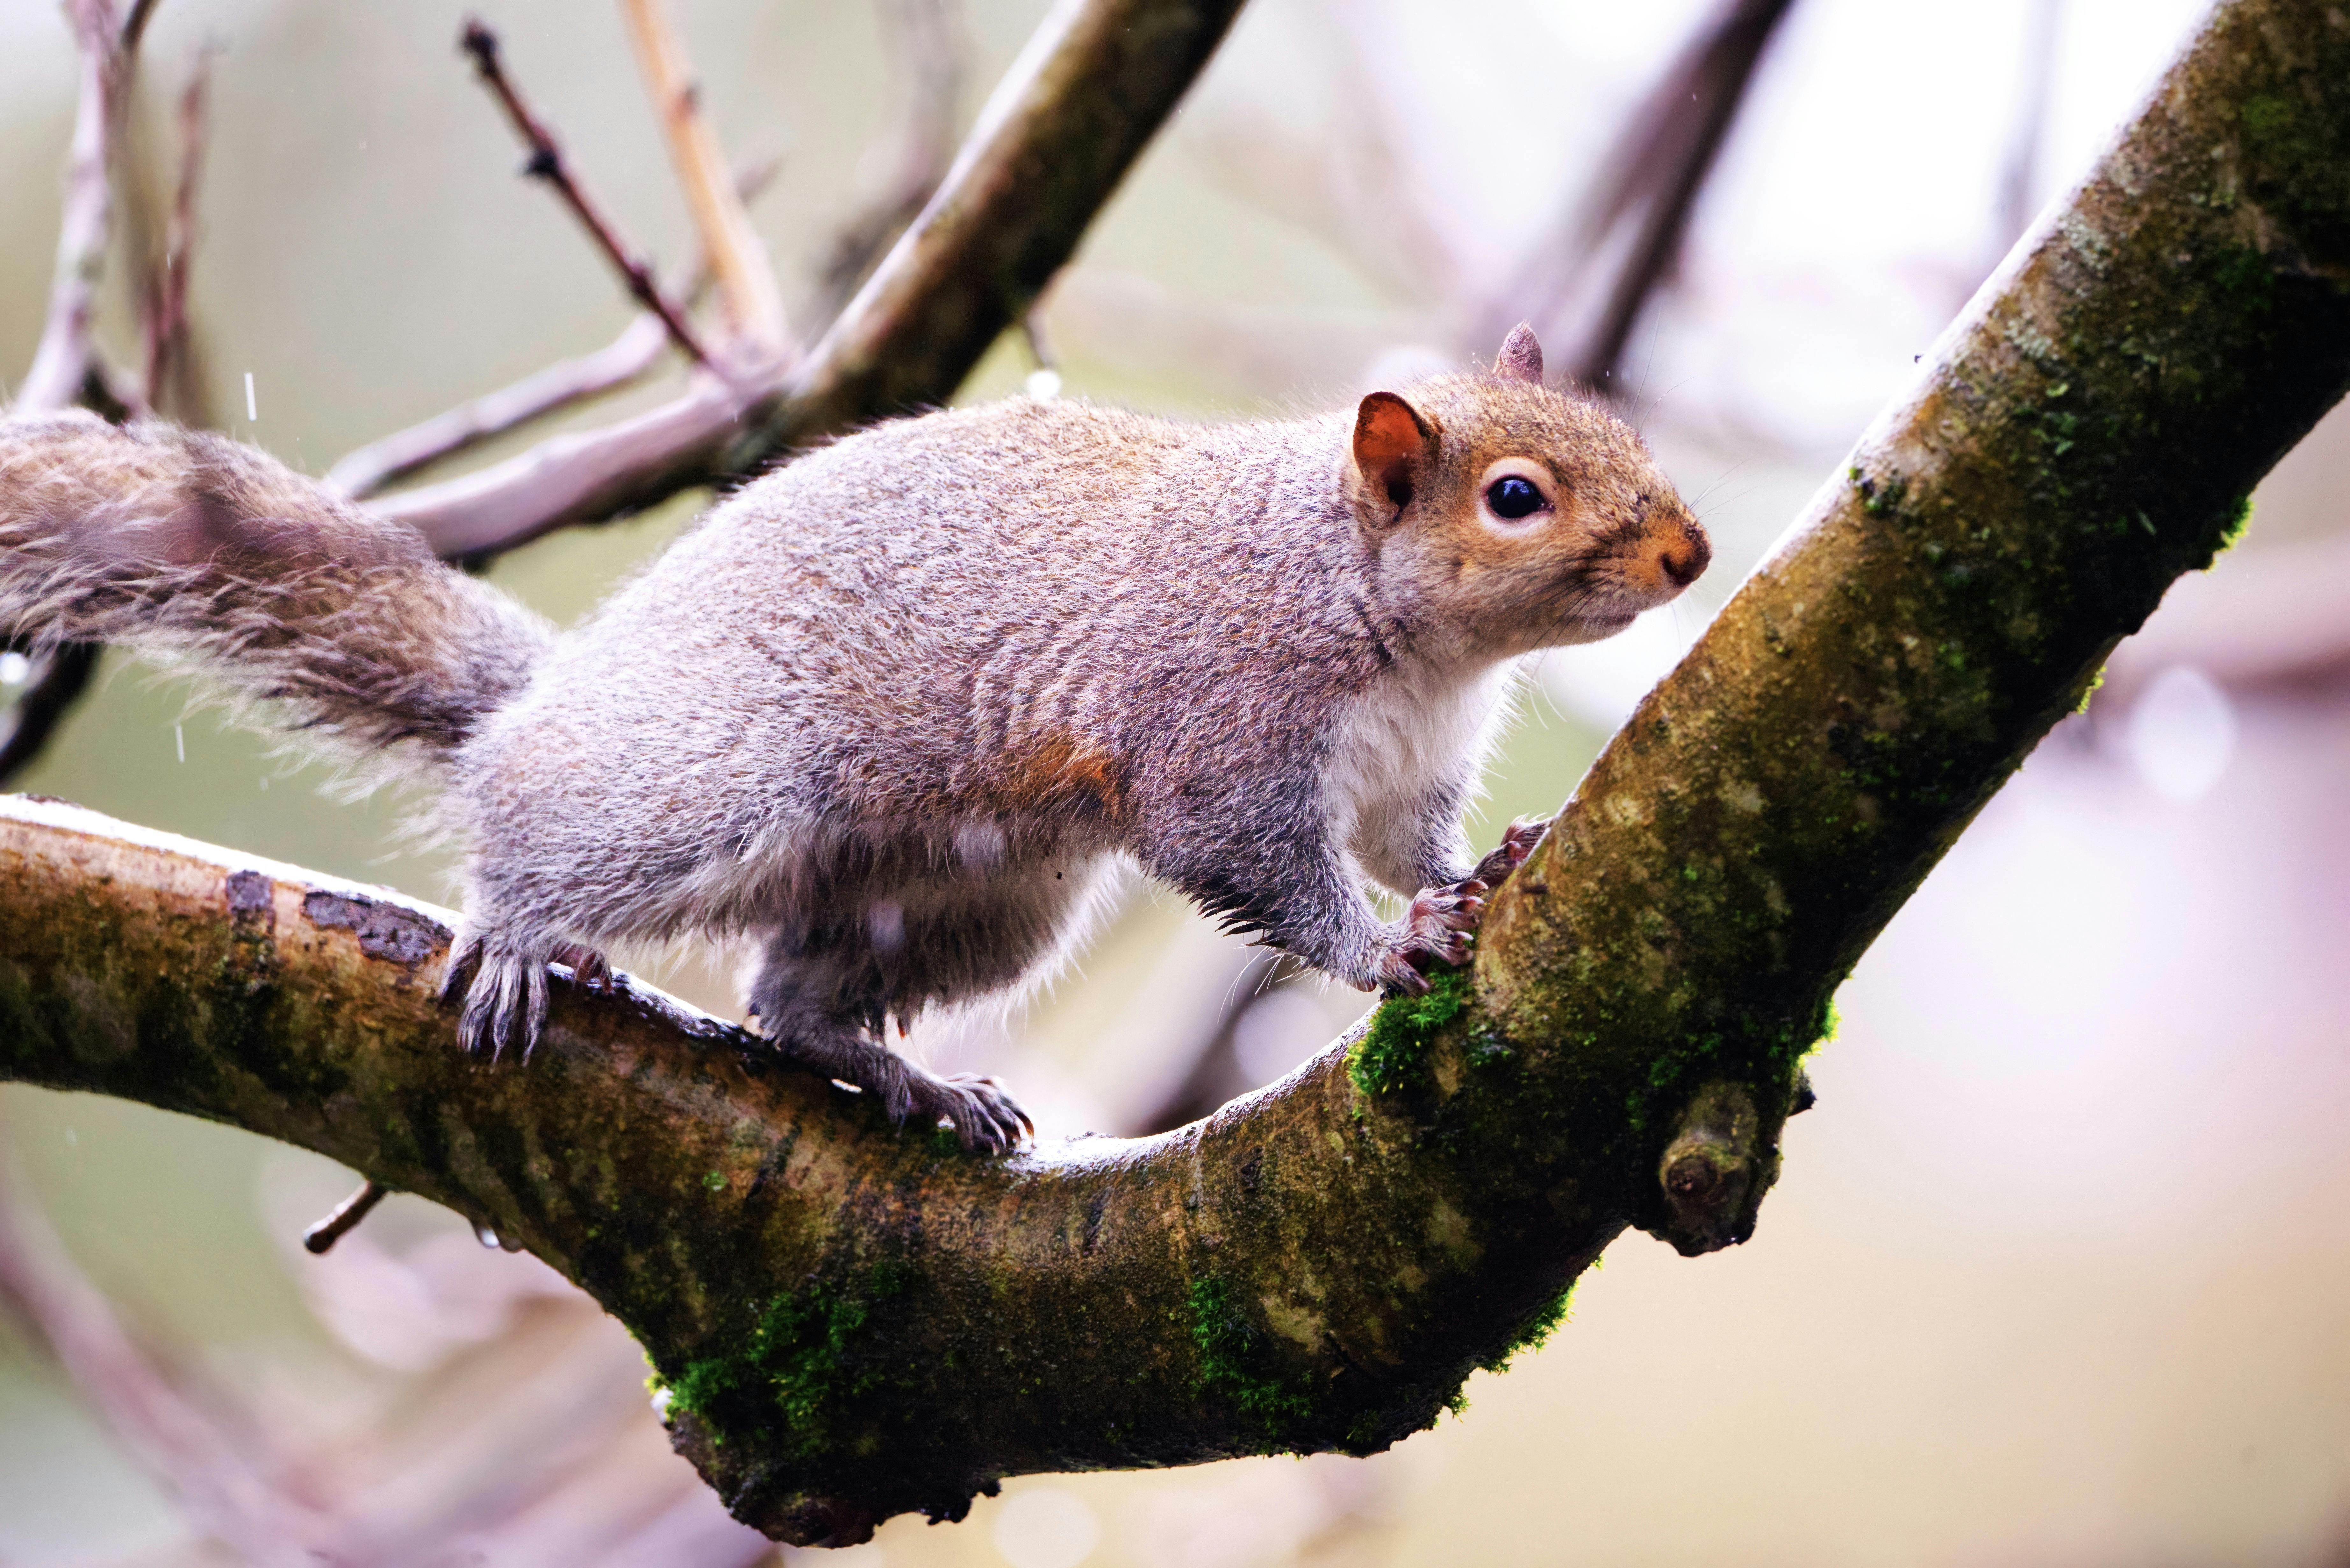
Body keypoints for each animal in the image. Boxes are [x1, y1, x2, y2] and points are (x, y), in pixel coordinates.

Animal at [0, 324, 1707, 1152]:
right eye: (1515, 496)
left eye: (1628, 432)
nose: (1689, 552)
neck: (1393, 628)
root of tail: (560, 701)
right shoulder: (1218, 724)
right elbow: (1267, 867)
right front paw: (1384, 948)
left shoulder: (1408, 765)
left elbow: (1409, 842)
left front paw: (1488, 864)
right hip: (712, 784)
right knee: (547, 837)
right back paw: (522, 930)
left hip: (973, 897)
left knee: (789, 1003)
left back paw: (908, 1081)